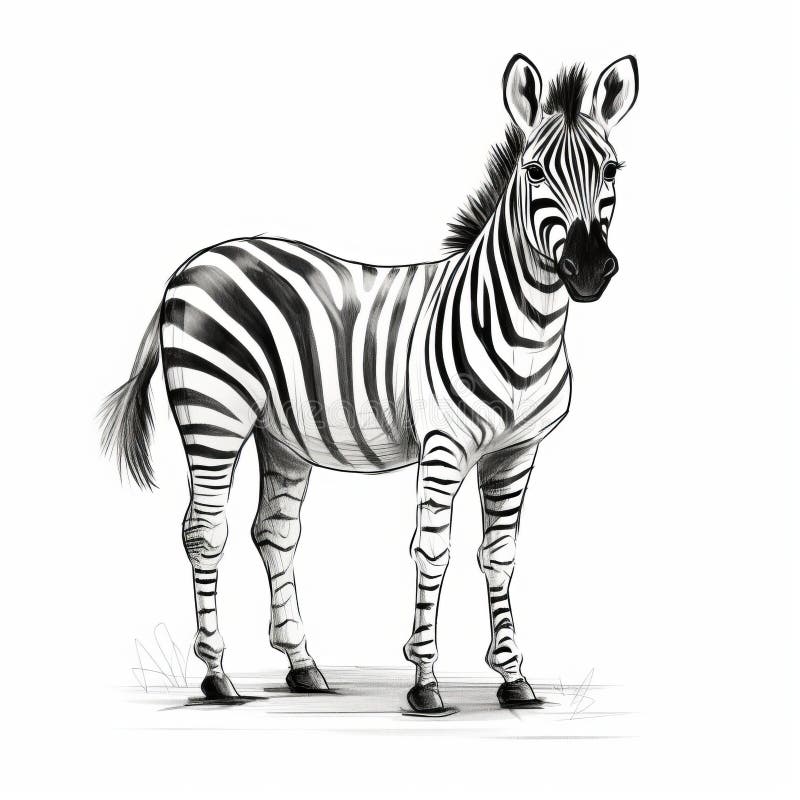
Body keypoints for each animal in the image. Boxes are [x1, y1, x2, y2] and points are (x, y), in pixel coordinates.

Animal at [101, 54, 638, 713]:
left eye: (611, 169)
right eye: (534, 171)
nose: (588, 271)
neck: (523, 327)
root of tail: (191, 265)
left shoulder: (516, 451)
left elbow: (500, 554)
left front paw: (514, 678)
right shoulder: (445, 443)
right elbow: (432, 548)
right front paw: (426, 679)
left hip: (280, 434)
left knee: (273, 533)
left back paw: (303, 666)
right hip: (214, 415)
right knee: (204, 531)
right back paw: (216, 674)